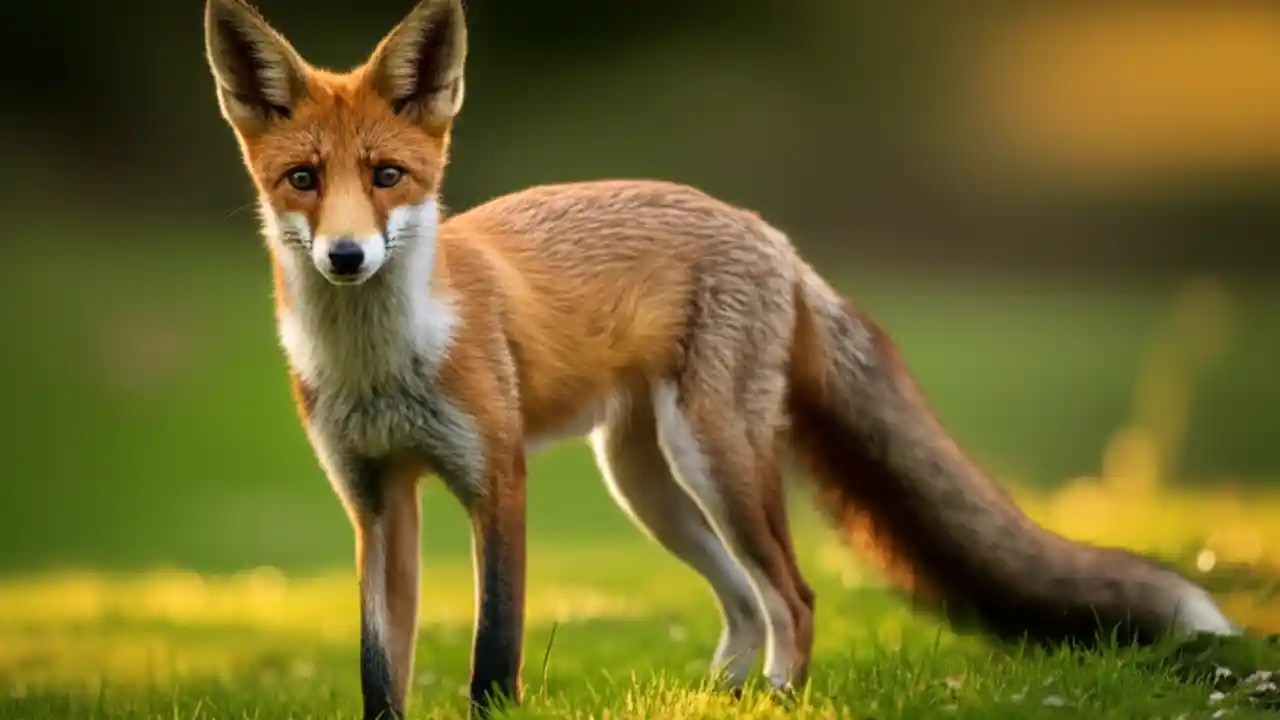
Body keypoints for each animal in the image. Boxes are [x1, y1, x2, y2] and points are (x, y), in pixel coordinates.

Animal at [203, 0, 1238, 717]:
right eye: (303, 179)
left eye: (387, 177)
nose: (346, 256)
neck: (384, 361)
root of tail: (766, 230)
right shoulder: (379, 505)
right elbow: (381, 671)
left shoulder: (496, 484)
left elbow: (494, 654)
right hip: (646, 482)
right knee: (744, 600)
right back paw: (730, 694)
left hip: (717, 460)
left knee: (796, 595)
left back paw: (780, 695)